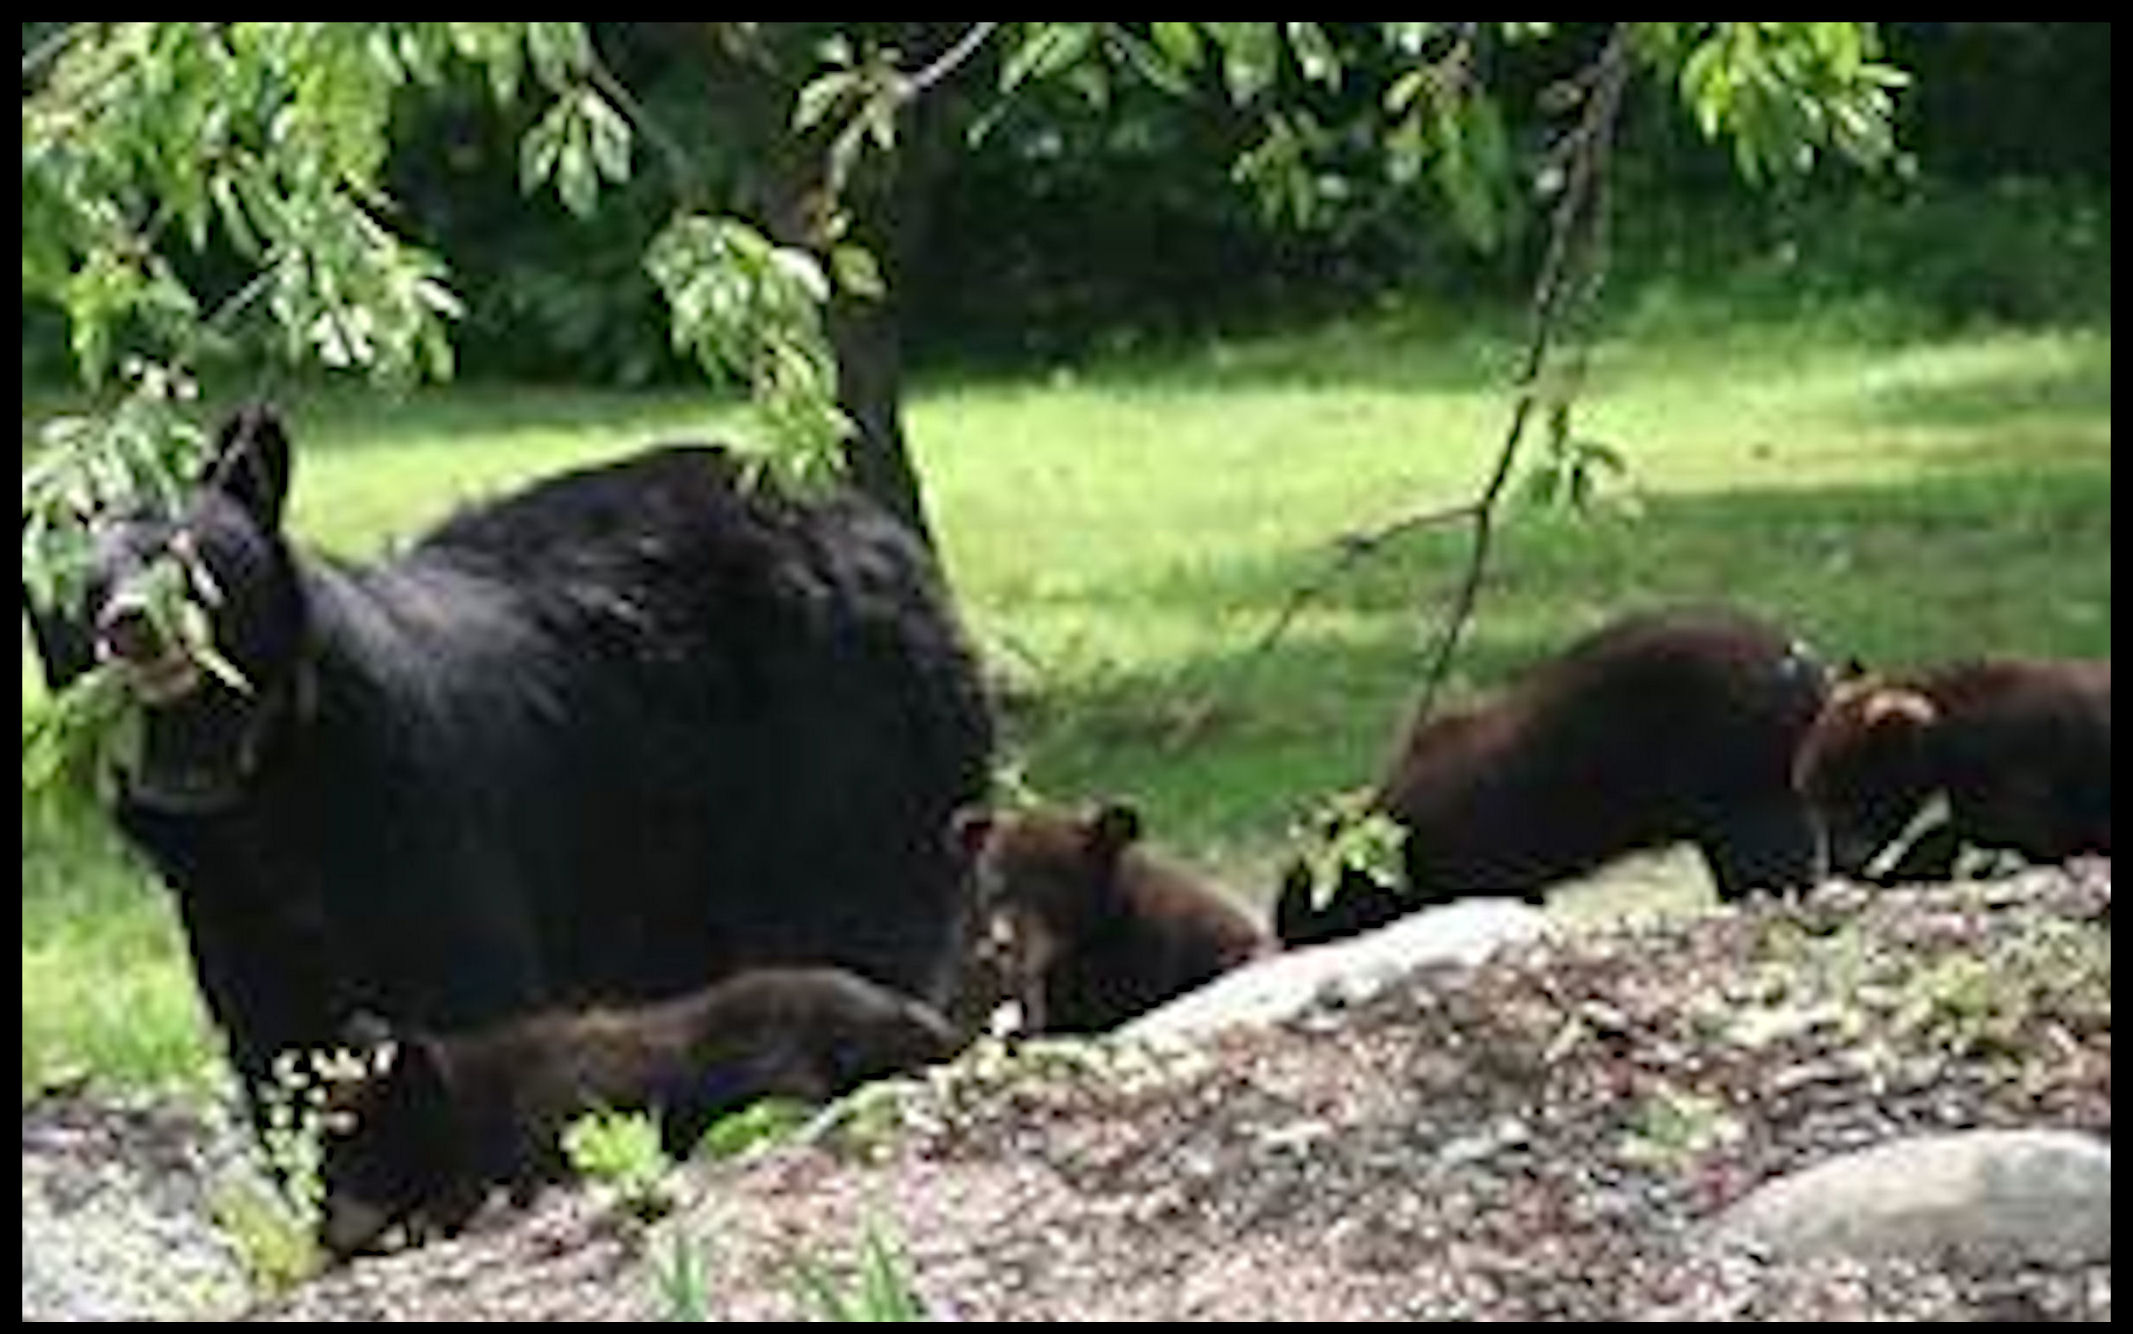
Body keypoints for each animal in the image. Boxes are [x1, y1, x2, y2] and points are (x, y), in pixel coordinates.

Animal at [24, 405, 994, 1175]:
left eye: (190, 561)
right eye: (85, 585)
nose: (131, 626)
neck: (260, 790)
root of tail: (877, 529)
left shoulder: (409, 805)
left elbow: (463, 991)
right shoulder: (225, 899)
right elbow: (279, 1046)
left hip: (844, 738)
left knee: (854, 912)